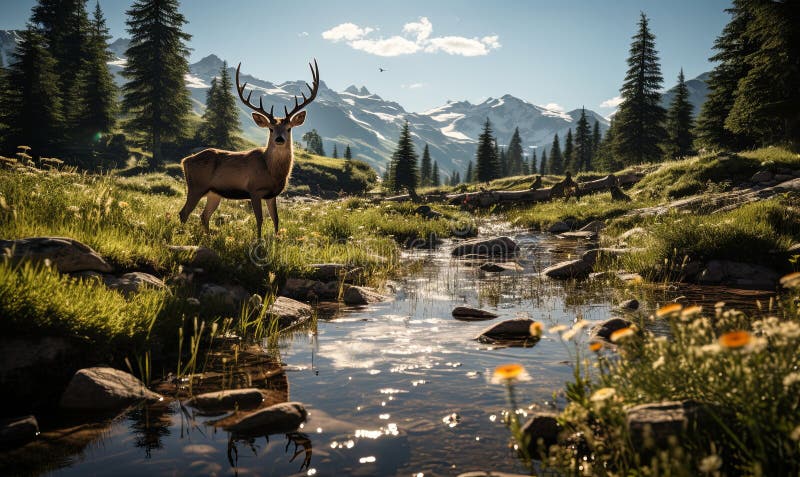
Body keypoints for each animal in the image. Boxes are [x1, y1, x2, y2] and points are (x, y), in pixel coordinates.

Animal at [179, 60, 320, 237]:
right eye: (271, 129)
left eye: (289, 128)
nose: (279, 139)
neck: (272, 172)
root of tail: (185, 160)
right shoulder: (254, 189)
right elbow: (260, 219)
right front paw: (258, 240)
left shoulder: (272, 195)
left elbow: (276, 219)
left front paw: (277, 239)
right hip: (196, 186)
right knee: (184, 213)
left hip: (214, 193)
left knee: (204, 216)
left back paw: (208, 237)